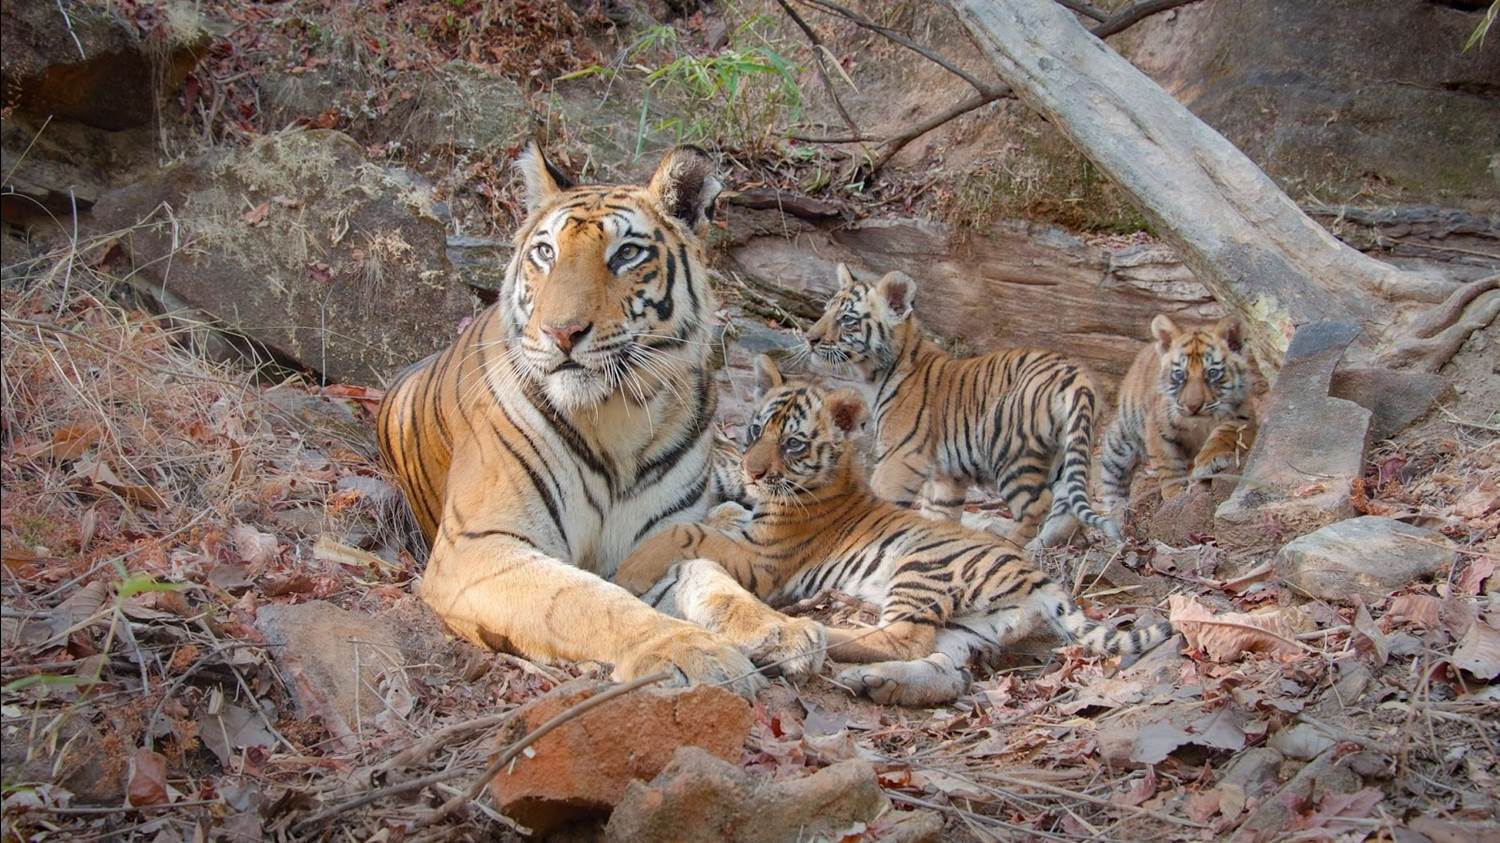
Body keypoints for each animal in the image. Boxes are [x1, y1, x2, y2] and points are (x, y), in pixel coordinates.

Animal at [376, 143, 826, 698]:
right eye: (545, 253)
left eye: (626, 254)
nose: (561, 332)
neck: (617, 418)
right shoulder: (478, 548)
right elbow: (587, 602)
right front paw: (690, 650)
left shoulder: (653, 541)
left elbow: (707, 576)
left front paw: (781, 630)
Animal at [615, 356, 1175, 707]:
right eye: (756, 429)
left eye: (793, 444)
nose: (751, 472)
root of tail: (1041, 580)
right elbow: (716, 518)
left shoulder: (764, 560)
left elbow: (686, 533)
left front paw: (631, 568)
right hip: (972, 629)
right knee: (938, 663)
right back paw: (874, 680)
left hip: (920, 566)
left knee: (903, 637)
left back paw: (816, 636)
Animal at [803, 264, 1118, 548]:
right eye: (826, 310)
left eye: (846, 319)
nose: (809, 338)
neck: (877, 374)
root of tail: (1076, 374)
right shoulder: (947, 477)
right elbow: (938, 517)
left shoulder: (899, 458)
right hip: (1067, 453)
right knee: (1068, 511)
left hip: (1010, 451)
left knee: (1038, 505)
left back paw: (1010, 544)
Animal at [1097, 313, 1257, 529]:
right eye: (1180, 374)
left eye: (1212, 373)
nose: (1193, 406)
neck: (1200, 422)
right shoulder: (1157, 429)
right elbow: (1169, 466)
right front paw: (1175, 497)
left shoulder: (1242, 417)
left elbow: (1224, 435)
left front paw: (1210, 461)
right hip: (1118, 445)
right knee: (1114, 485)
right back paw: (1119, 516)